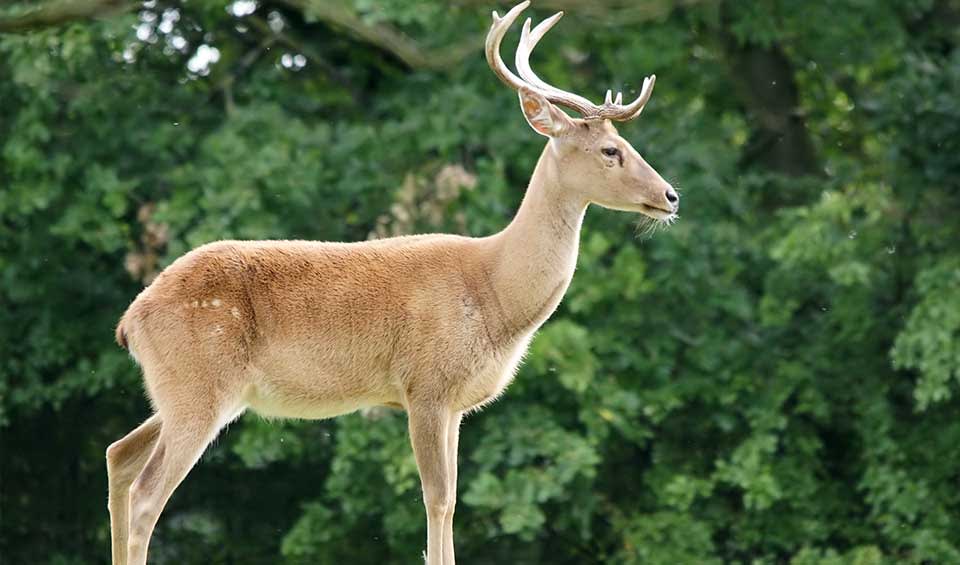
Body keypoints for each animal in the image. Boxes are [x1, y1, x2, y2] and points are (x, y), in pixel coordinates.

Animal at [105, 2, 678, 564]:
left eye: (623, 142)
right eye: (610, 151)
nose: (671, 196)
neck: (495, 294)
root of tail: (130, 320)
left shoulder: (455, 404)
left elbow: (451, 500)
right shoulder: (425, 384)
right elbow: (438, 499)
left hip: (177, 390)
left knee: (119, 456)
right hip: (199, 380)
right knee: (147, 492)